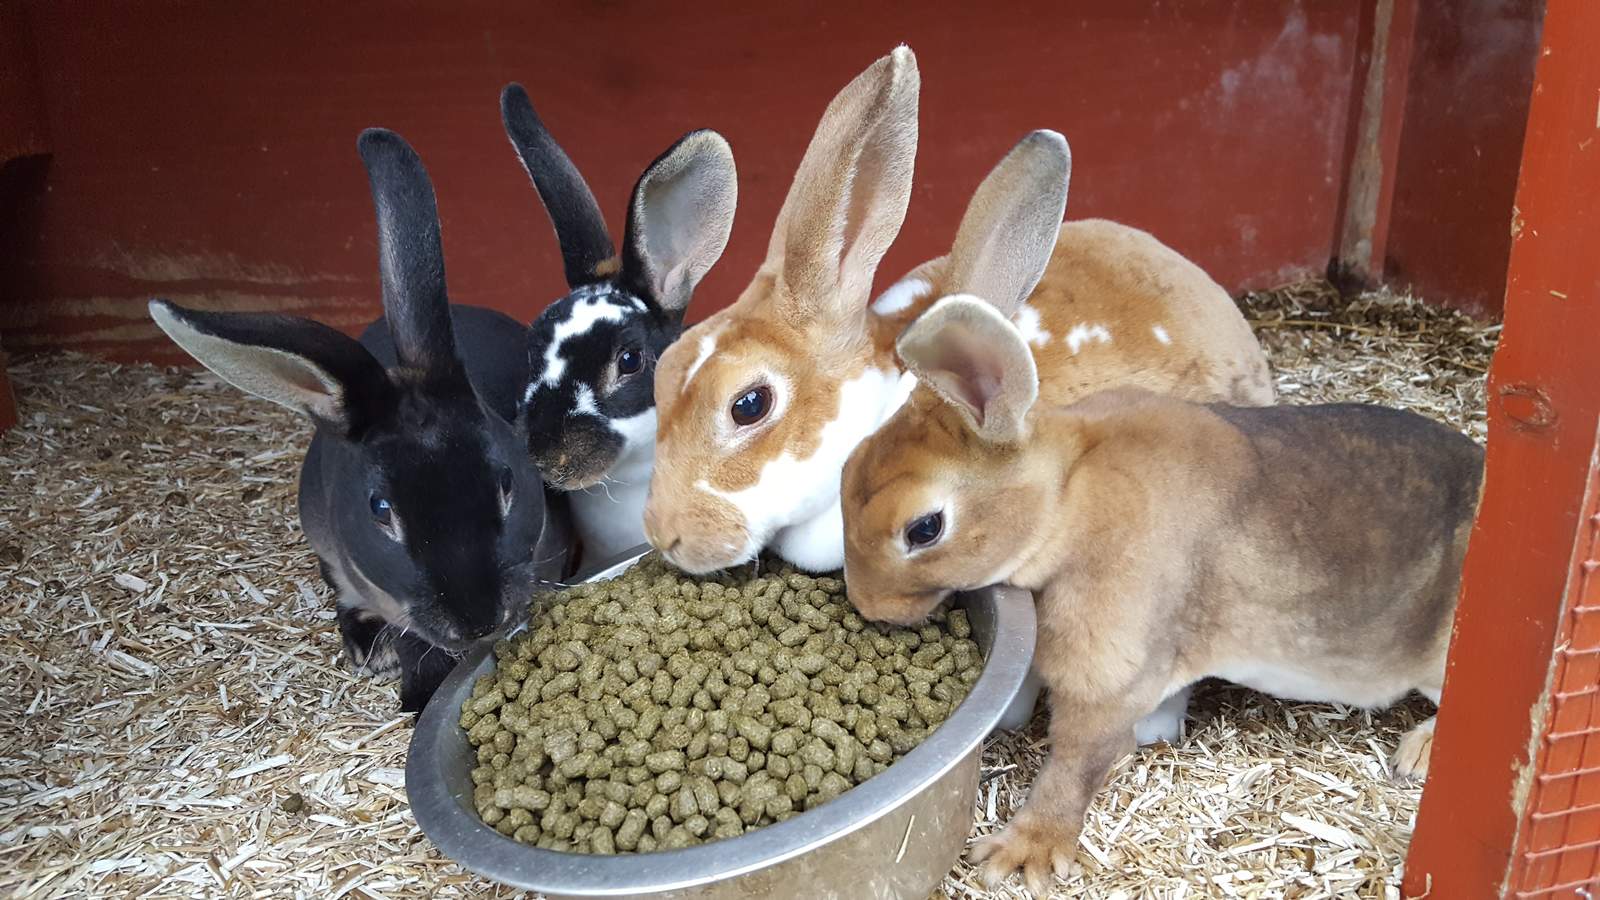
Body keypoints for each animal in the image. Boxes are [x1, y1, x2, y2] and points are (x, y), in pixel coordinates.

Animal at [839, 286, 1482, 894]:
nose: (868, 605)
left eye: (924, 529)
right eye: (847, 471)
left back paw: (1418, 754)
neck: (1069, 495)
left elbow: (1076, 760)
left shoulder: (1108, 665)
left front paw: (1020, 854)